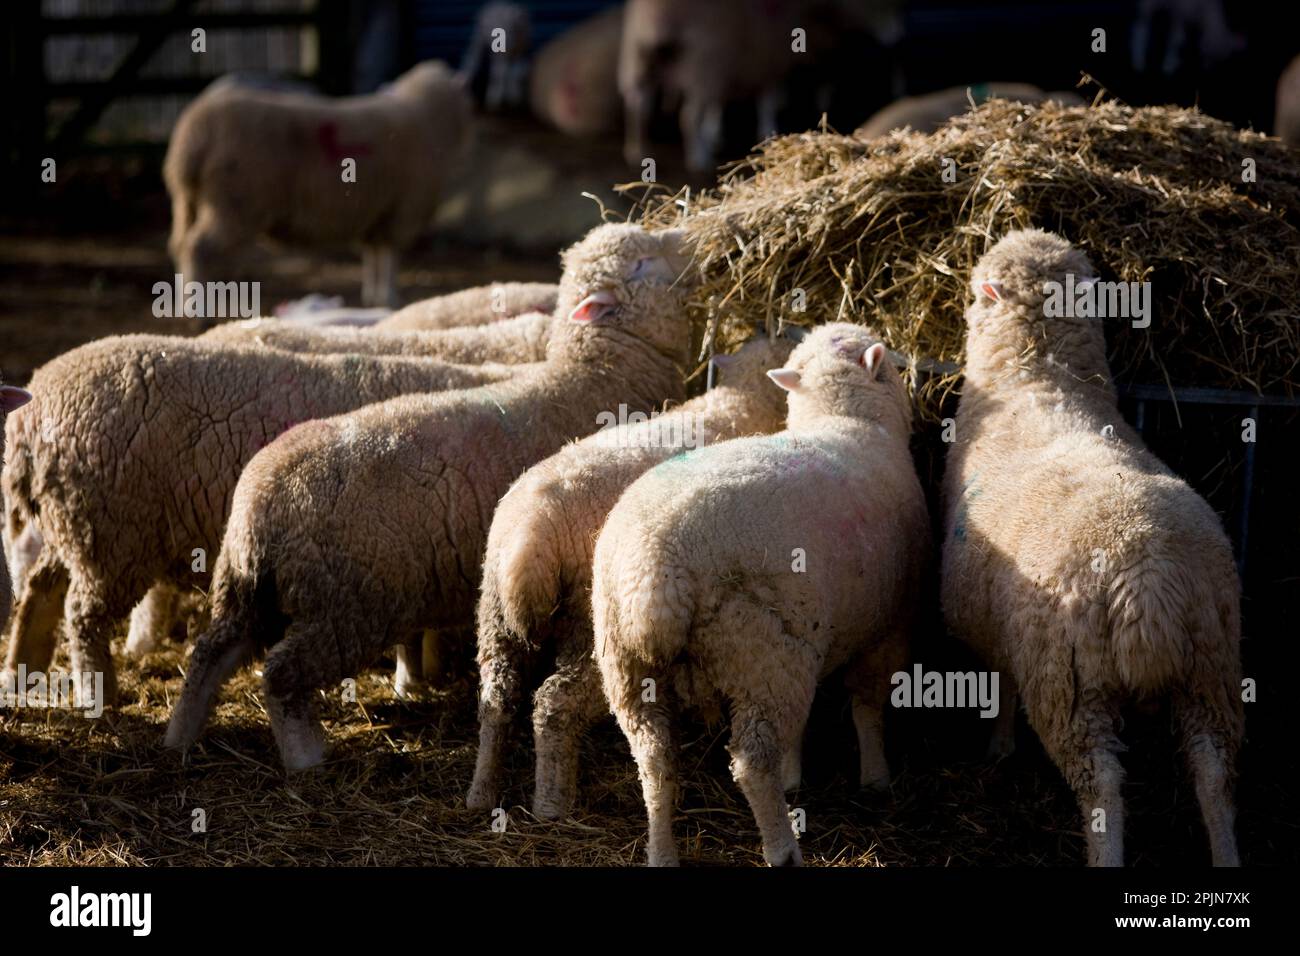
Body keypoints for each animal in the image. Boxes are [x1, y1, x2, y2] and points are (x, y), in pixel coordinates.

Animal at [2, 336, 519, 707]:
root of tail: (34, 409)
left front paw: (415, 678)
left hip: (72, 525)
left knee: (39, 590)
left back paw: (21, 673)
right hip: (112, 536)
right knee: (83, 616)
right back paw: (102, 698)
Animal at [164, 61, 472, 313]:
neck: (426, 117)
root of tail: (193, 136)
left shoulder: (377, 212)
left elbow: (373, 255)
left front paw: (373, 297)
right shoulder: (400, 209)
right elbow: (388, 257)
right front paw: (389, 298)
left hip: (187, 201)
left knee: (178, 245)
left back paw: (182, 302)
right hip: (236, 202)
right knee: (197, 248)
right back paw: (198, 312)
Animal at [468, 331, 797, 819]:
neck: (738, 403)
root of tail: (531, 533)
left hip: (495, 617)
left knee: (497, 702)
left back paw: (480, 793)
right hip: (593, 630)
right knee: (554, 703)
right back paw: (551, 803)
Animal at [591, 323, 929, 866]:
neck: (846, 418)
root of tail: (656, 566)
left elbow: (803, 729)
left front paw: (795, 776)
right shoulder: (888, 627)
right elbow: (867, 706)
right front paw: (876, 777)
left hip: (629, 670)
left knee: (656, 765)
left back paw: (662, 851)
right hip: (766, 655)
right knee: (751, 765)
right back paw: (783, 847)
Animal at [941, 229, 1244, 867]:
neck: (1038, 378)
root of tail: (1147, 571)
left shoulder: (1000, 634)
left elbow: (1001, 688)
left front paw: (999, 747)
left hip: (1073, 688)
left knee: (1102, 786)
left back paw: (1105, 853)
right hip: (1211, 666)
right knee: (1213, 773)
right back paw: (1226, 854)